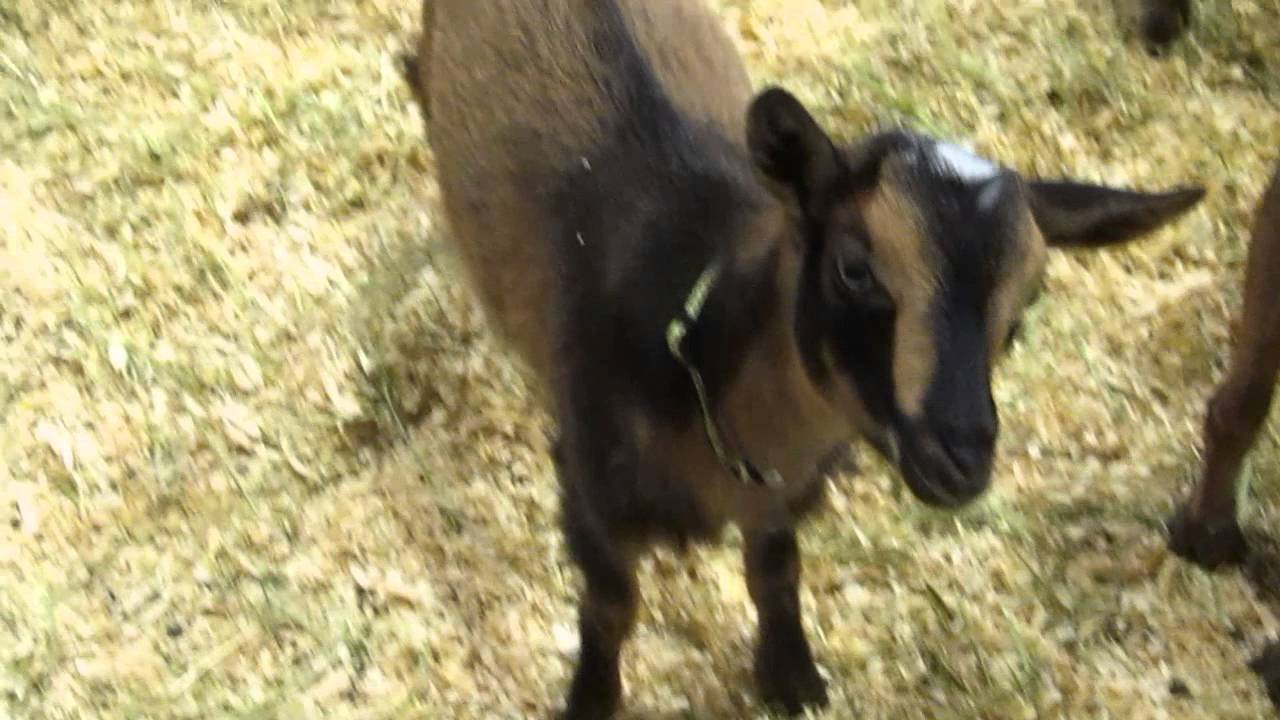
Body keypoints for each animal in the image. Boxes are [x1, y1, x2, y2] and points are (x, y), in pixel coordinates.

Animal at [401, 1, 1205, 716]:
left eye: (1029, 300)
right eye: (854, 268)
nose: (962, 458)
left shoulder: (783, 492)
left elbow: (776, 572)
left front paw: (791, 677)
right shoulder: (588, 490)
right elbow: (611, 607)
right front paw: (590, 700)